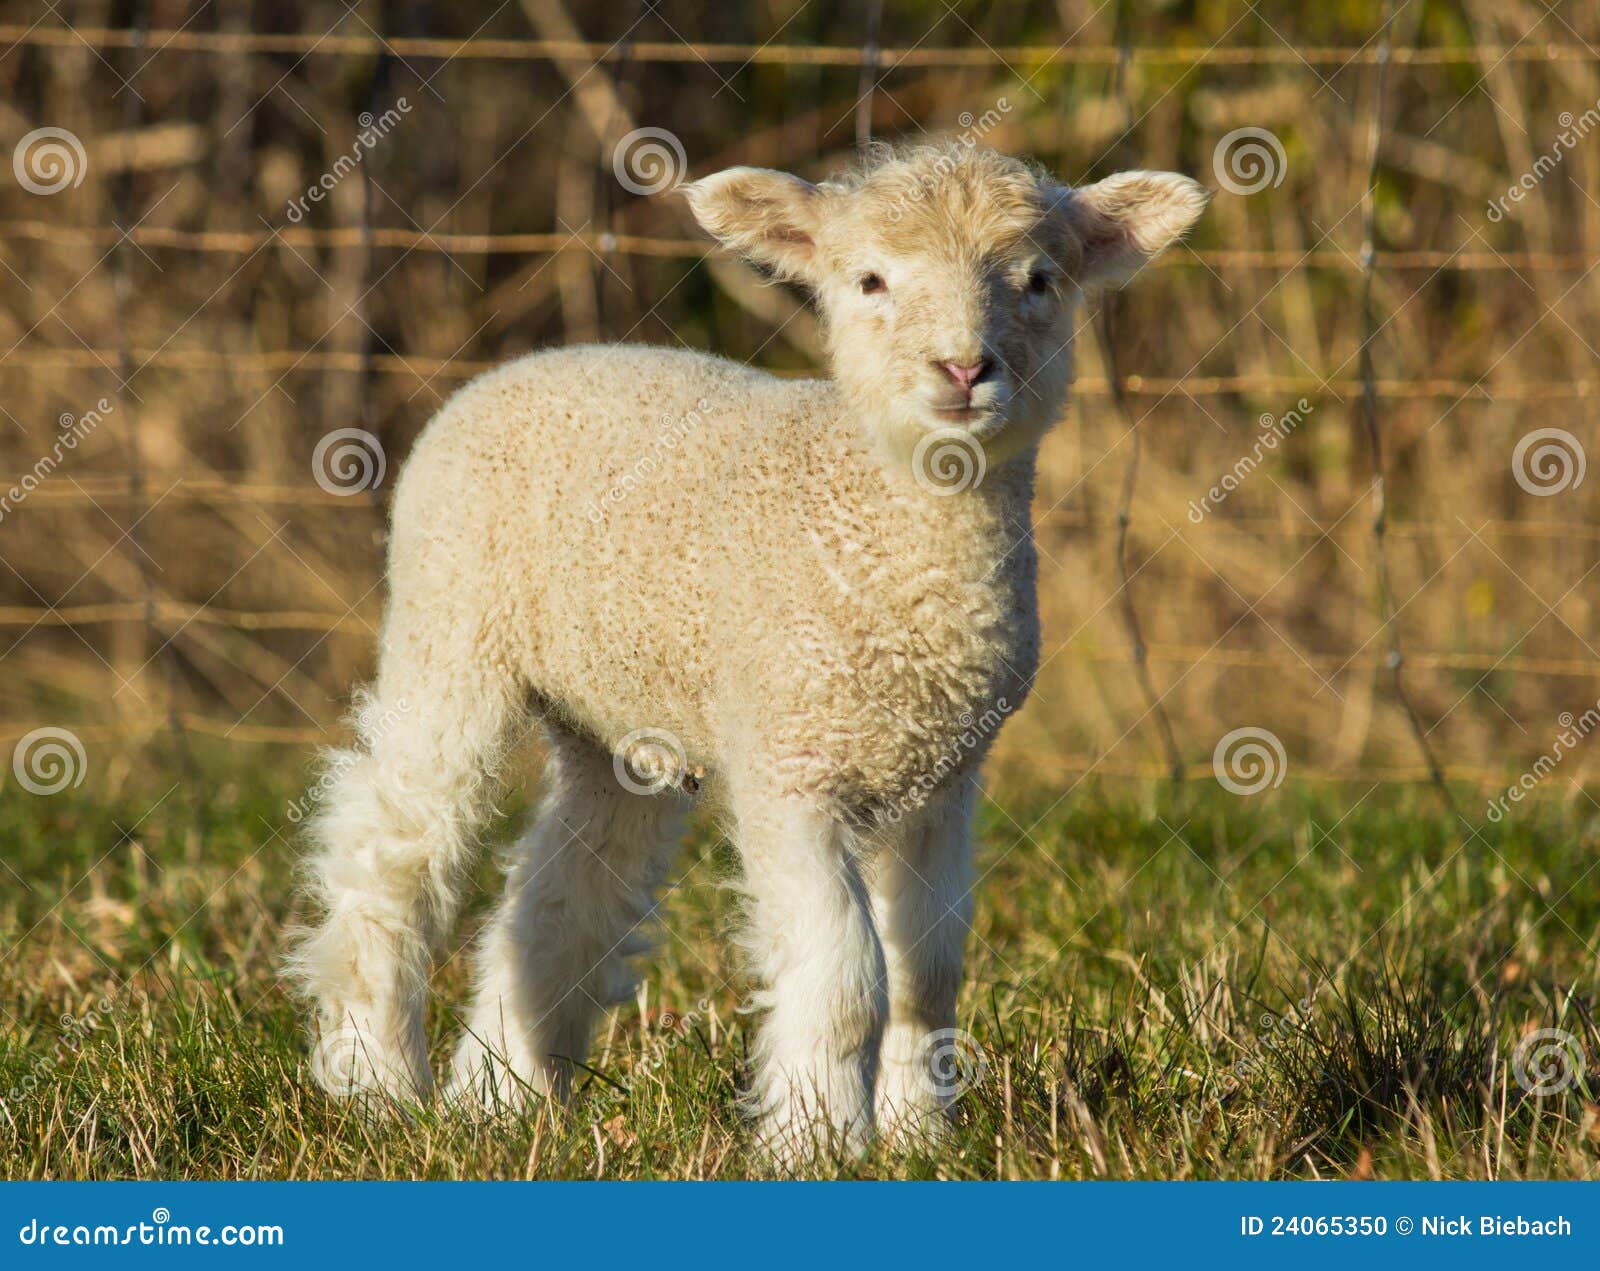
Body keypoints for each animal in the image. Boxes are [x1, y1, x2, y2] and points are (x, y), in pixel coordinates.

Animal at [288, 139, 1208, 1165]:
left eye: (1039, 280)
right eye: (870, 280)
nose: (965, 367)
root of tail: (522, 365)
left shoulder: (945, 774)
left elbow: (926, 971)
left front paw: (921, 1139)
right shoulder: (788, 762)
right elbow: (847, 976)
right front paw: (818, 1143)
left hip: (617, 723)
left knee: (560, 897)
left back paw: (502, 1100)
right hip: (448, 633)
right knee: (393, 856)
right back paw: (377, 1085)